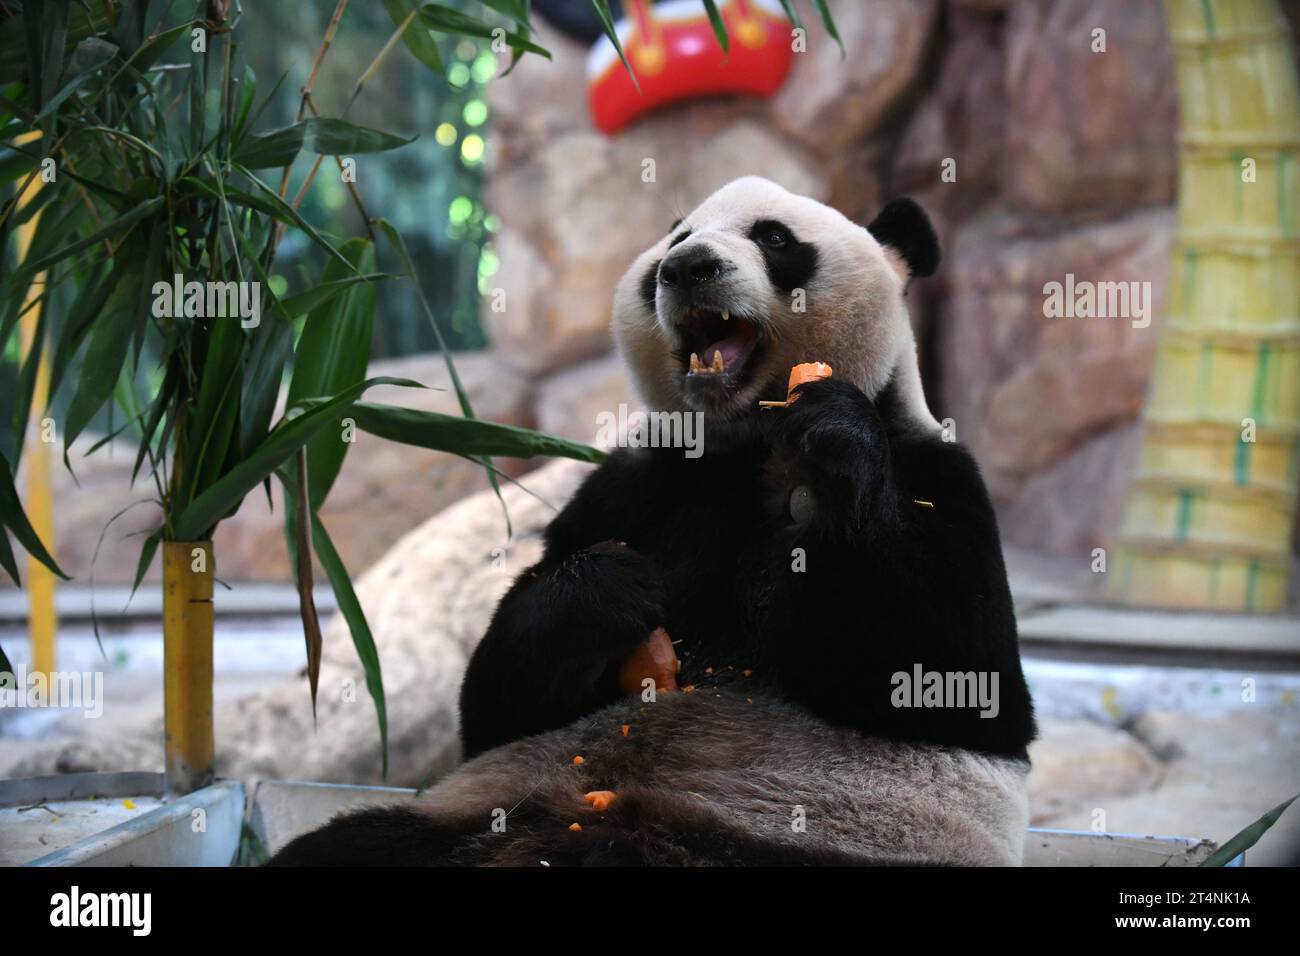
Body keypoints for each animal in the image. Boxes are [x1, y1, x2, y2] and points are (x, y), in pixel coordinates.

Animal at [269, 177, 1037, 867]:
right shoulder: (633, 486)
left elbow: (958, 671)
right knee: (349, 845)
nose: (687, 267)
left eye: (775, 238)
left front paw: (830, 441)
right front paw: (600, 593)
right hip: (472, 809)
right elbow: (494, 711)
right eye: (674, 240)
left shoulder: (936, 469)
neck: (743, 444)